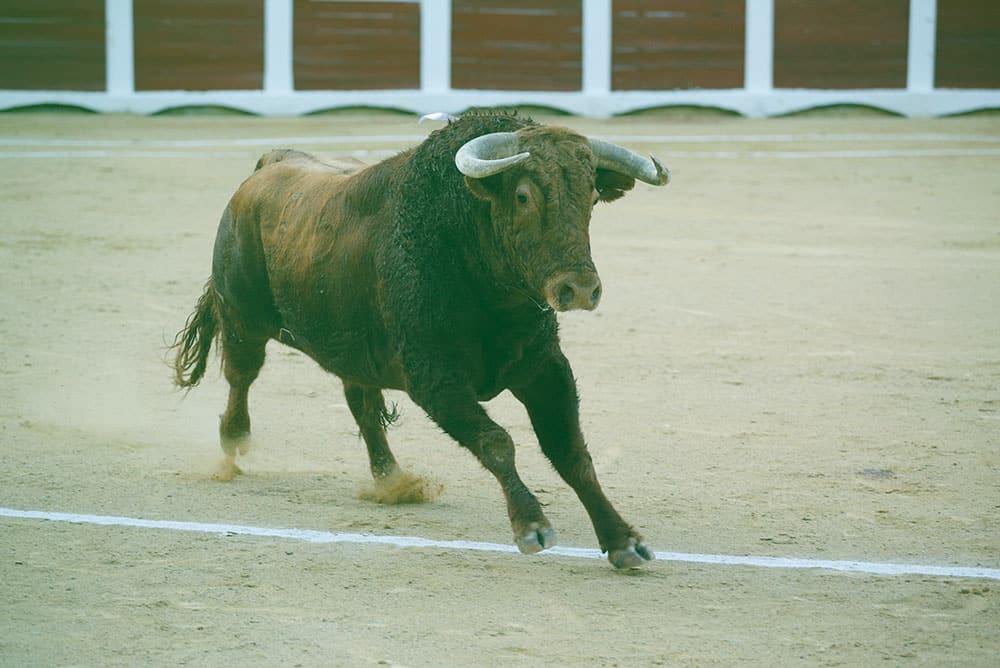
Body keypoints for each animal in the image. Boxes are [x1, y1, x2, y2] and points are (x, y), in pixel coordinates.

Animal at [172, 110, 669, 568]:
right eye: (523, 195)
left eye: (591, 195)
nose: (579, 289)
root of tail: (268, 166)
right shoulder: (435, 379)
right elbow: (497, 442)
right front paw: (532, 526)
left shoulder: (545, 368)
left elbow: (570, 451)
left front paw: (622, 539)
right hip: (242, 319)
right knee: (242, 376)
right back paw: (233, 445)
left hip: (351, 347)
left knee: (360, 403)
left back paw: (392, 480)